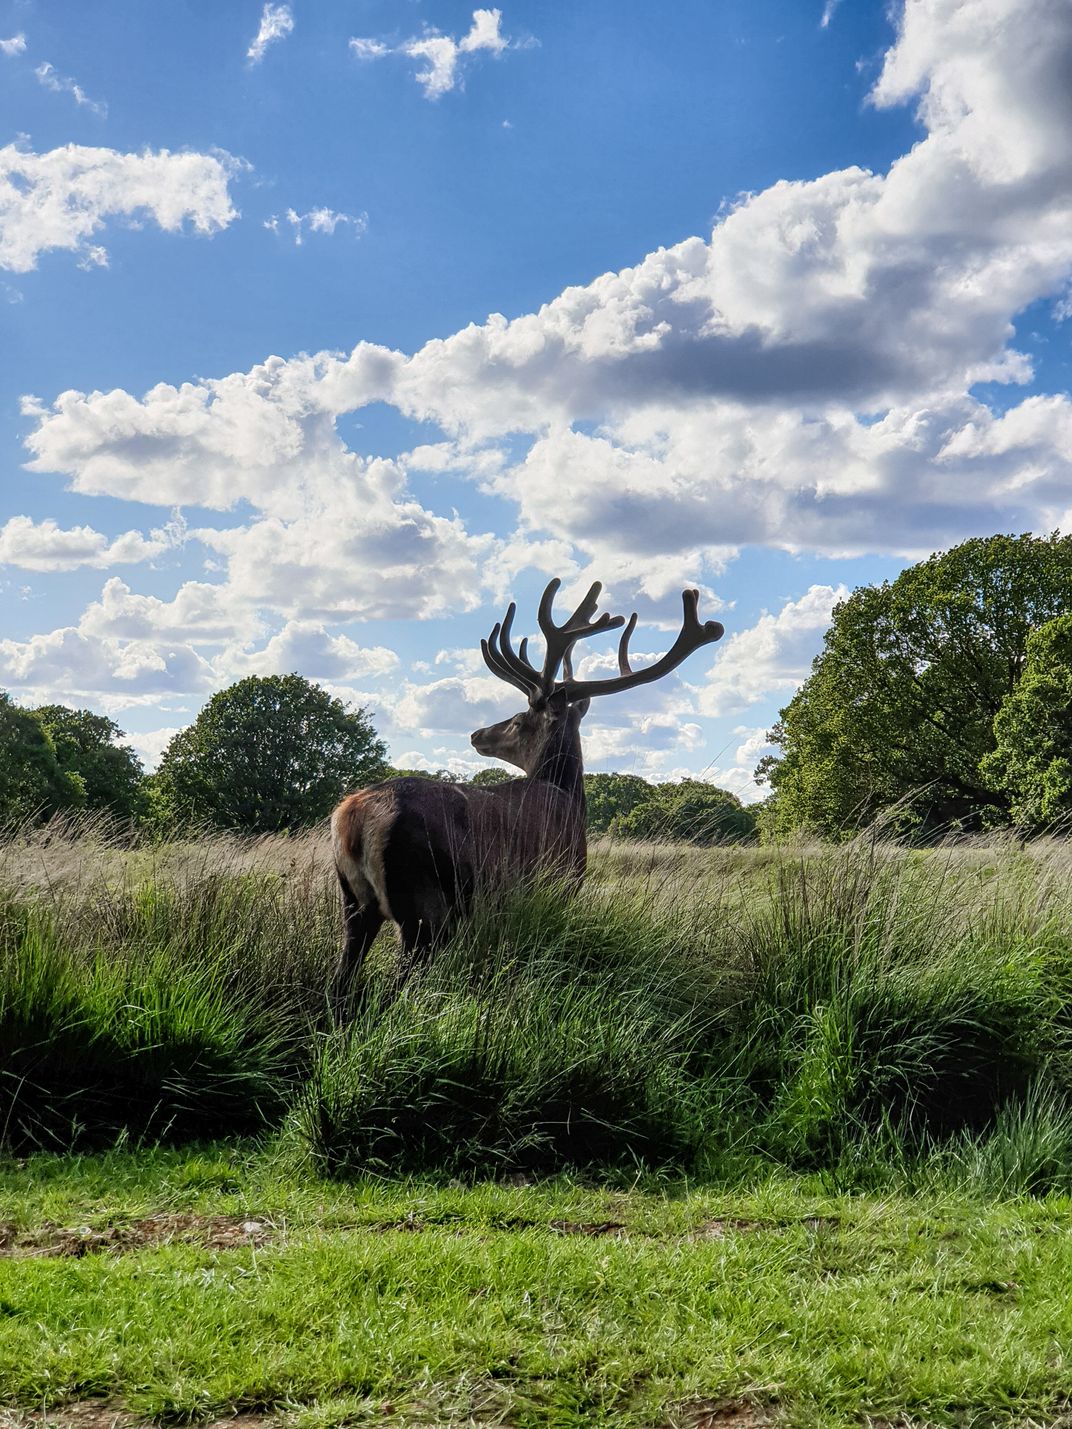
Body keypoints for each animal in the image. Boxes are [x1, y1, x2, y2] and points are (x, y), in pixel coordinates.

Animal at [330, 578, 724, 1015]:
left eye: (518, 720)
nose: (477, 734)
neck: (567, 797)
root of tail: (353, 817)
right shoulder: (560, 883)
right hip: (424, 906)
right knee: (394, 988)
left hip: (353, 901)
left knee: (341, 983)